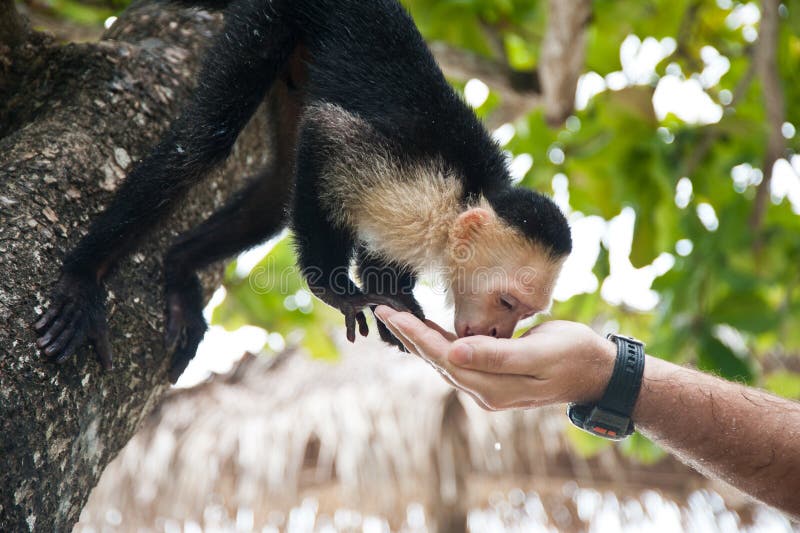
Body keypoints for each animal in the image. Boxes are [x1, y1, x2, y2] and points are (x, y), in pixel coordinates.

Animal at [34, 0, 572, 383]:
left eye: (523, 313)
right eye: (508, 304)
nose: (500, 333)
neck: (466, 199)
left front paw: (395, 304)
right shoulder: (419, 189)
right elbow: (326, 133)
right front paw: (333, 289)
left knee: (276, 192)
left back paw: (180, 267)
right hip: (267, 19)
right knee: (205, 142)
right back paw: (83, 276)